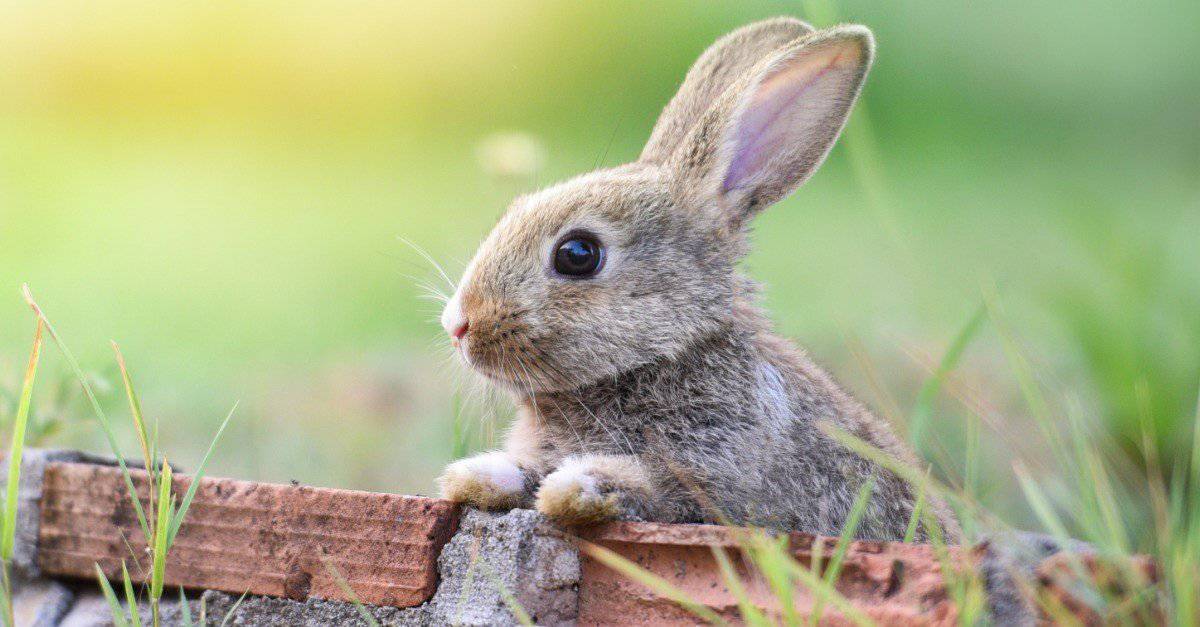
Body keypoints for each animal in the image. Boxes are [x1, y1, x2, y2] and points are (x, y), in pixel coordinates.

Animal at [435, 17, 961, 543]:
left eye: (577, 254)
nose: (458, 324)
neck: (665, 355)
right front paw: (476, 475)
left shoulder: (717, 477)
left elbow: (651, 487)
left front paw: (576, 487)